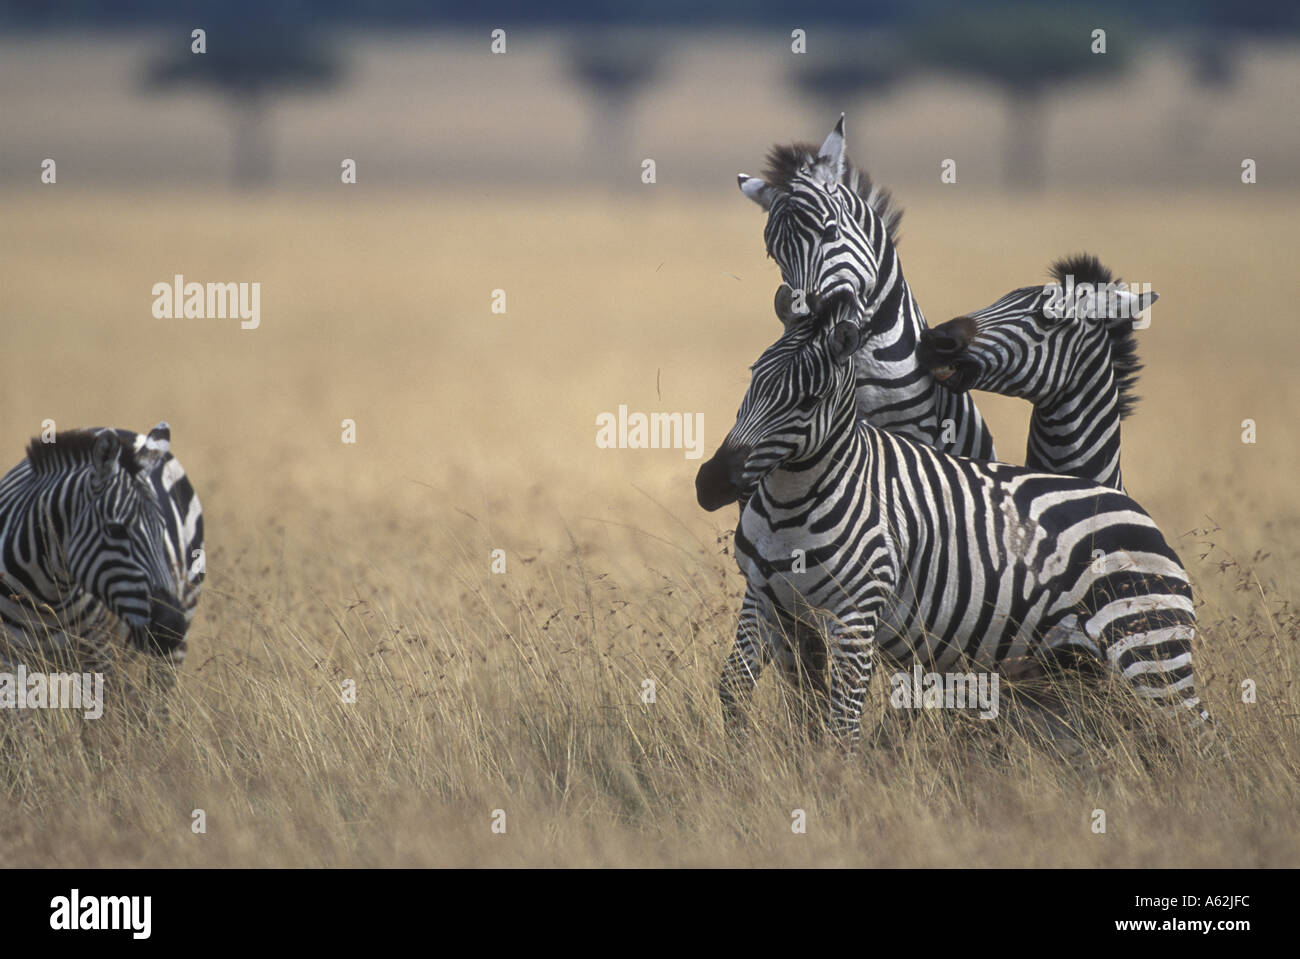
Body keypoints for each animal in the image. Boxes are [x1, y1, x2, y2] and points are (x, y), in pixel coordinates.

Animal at [0, 423, 203, 711]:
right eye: (116, 530)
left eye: (162, 529)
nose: (172, 627)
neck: (42, 597)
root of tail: (126, 433)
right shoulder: (9, 660)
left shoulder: (99, 657)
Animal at [695, 308, 1210, 749]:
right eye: (753, 379)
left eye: (808, 401)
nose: (710, 483)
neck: (790, 506)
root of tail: (1139, 514)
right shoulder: (763, 598)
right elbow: (733, 688)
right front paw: (741, 764)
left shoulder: (855, 613)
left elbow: (843, 722)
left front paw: (839, 787)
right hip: (1063, 668)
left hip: (1148, 645)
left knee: (1194, 732)